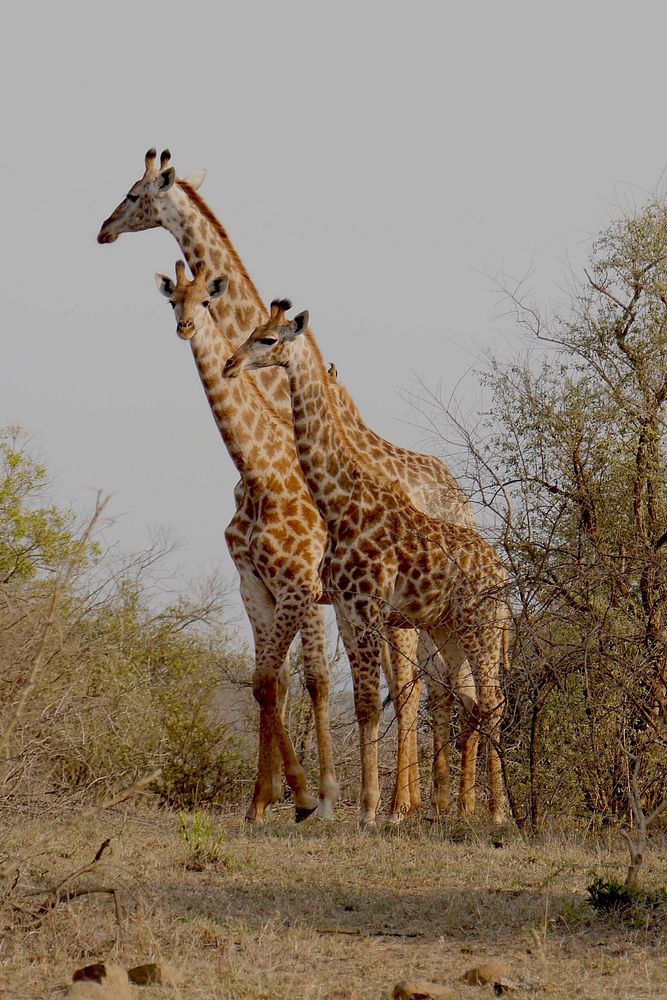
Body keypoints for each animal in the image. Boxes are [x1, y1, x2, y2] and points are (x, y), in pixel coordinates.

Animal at [97, 149, 480, 820]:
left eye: (136, 193)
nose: (103, 230)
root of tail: (463, 501)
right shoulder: (282, 587)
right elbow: (286, 681)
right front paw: (284, 797)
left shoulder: (306, 582)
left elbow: (312, 681)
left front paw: (318, 799)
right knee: (426, 690)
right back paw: (426, 801)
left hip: (417, 611)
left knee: (423, 690)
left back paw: (419, 804)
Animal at [223, 302, 510, 827]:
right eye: (252, 330)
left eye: (269, 340)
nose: (231, 364)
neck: (341, 502)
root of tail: (505, 579)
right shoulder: (344, 606)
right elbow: (360, 704)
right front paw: (362, 807)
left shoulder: (367, 603)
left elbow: (374, 703)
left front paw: (371, 811)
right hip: (450, 630)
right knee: (471, 702)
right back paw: (462, 809)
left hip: (481, 630)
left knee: (491, 702)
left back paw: (496, 813)